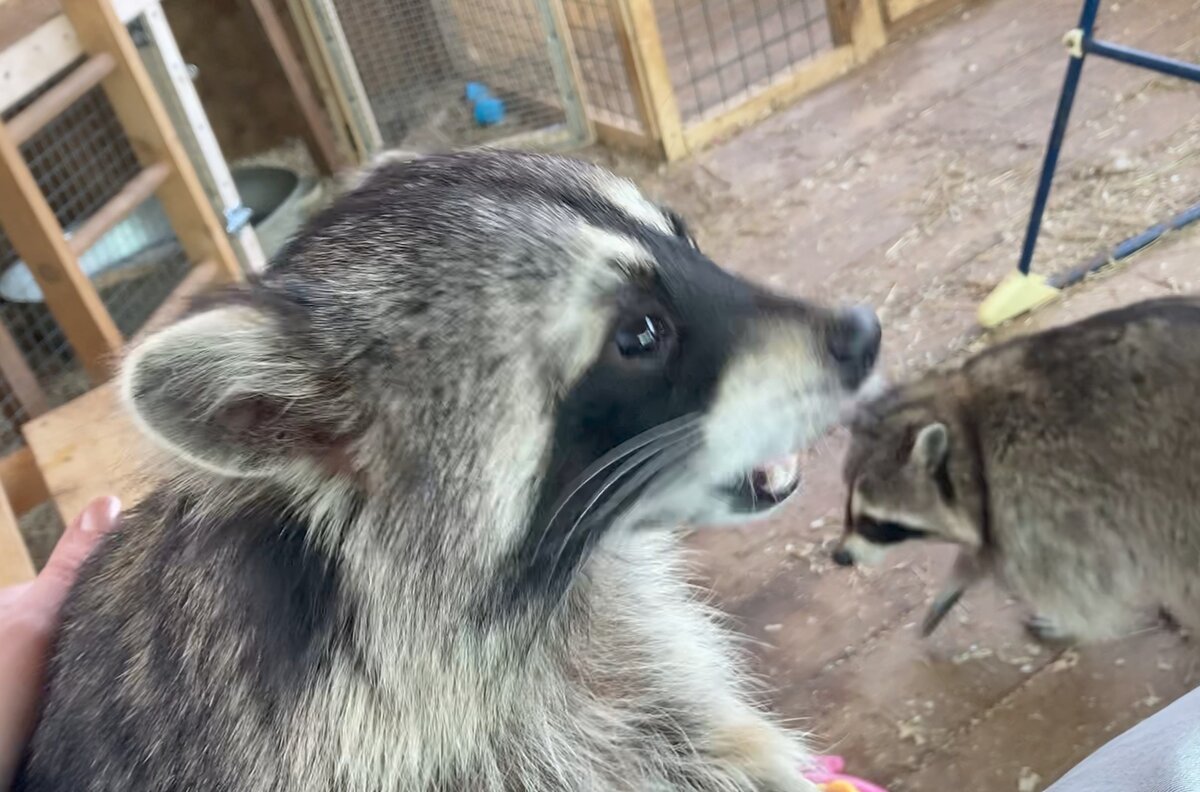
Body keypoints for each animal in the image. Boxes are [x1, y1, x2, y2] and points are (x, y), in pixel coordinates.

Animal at [835, 297, 1200, 643]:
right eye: (850, 509)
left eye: (874, 523)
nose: (839, 557)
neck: (966, 427)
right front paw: (961, 574)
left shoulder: (1039, 497)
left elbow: (1084, 581)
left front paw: (1066, 622)